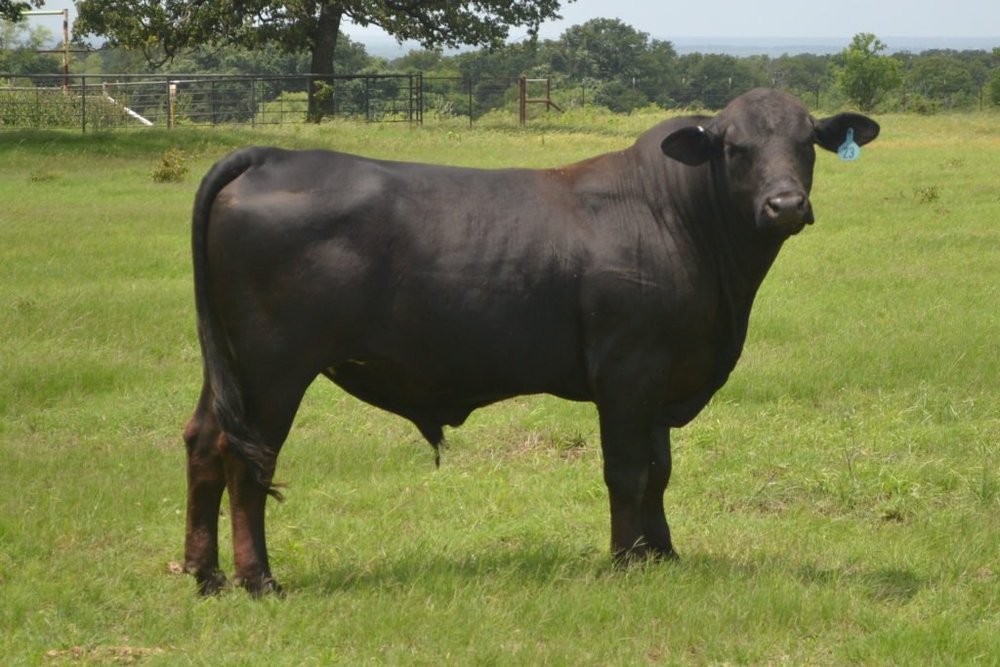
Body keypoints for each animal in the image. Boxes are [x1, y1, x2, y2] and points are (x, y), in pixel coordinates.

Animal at [182, 88, 879, 595]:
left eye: (806, 142)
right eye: (734, 147)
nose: (785, 204)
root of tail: (271, 155)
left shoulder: (662, 376)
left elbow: (660, 471)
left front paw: (664, 554)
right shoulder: (629, 372)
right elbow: (627, 471)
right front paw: (627, 560)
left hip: (231, 365)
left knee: (205, 441)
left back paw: (204, 572)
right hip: (274, 367)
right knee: (248, 459)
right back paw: (258, 580)